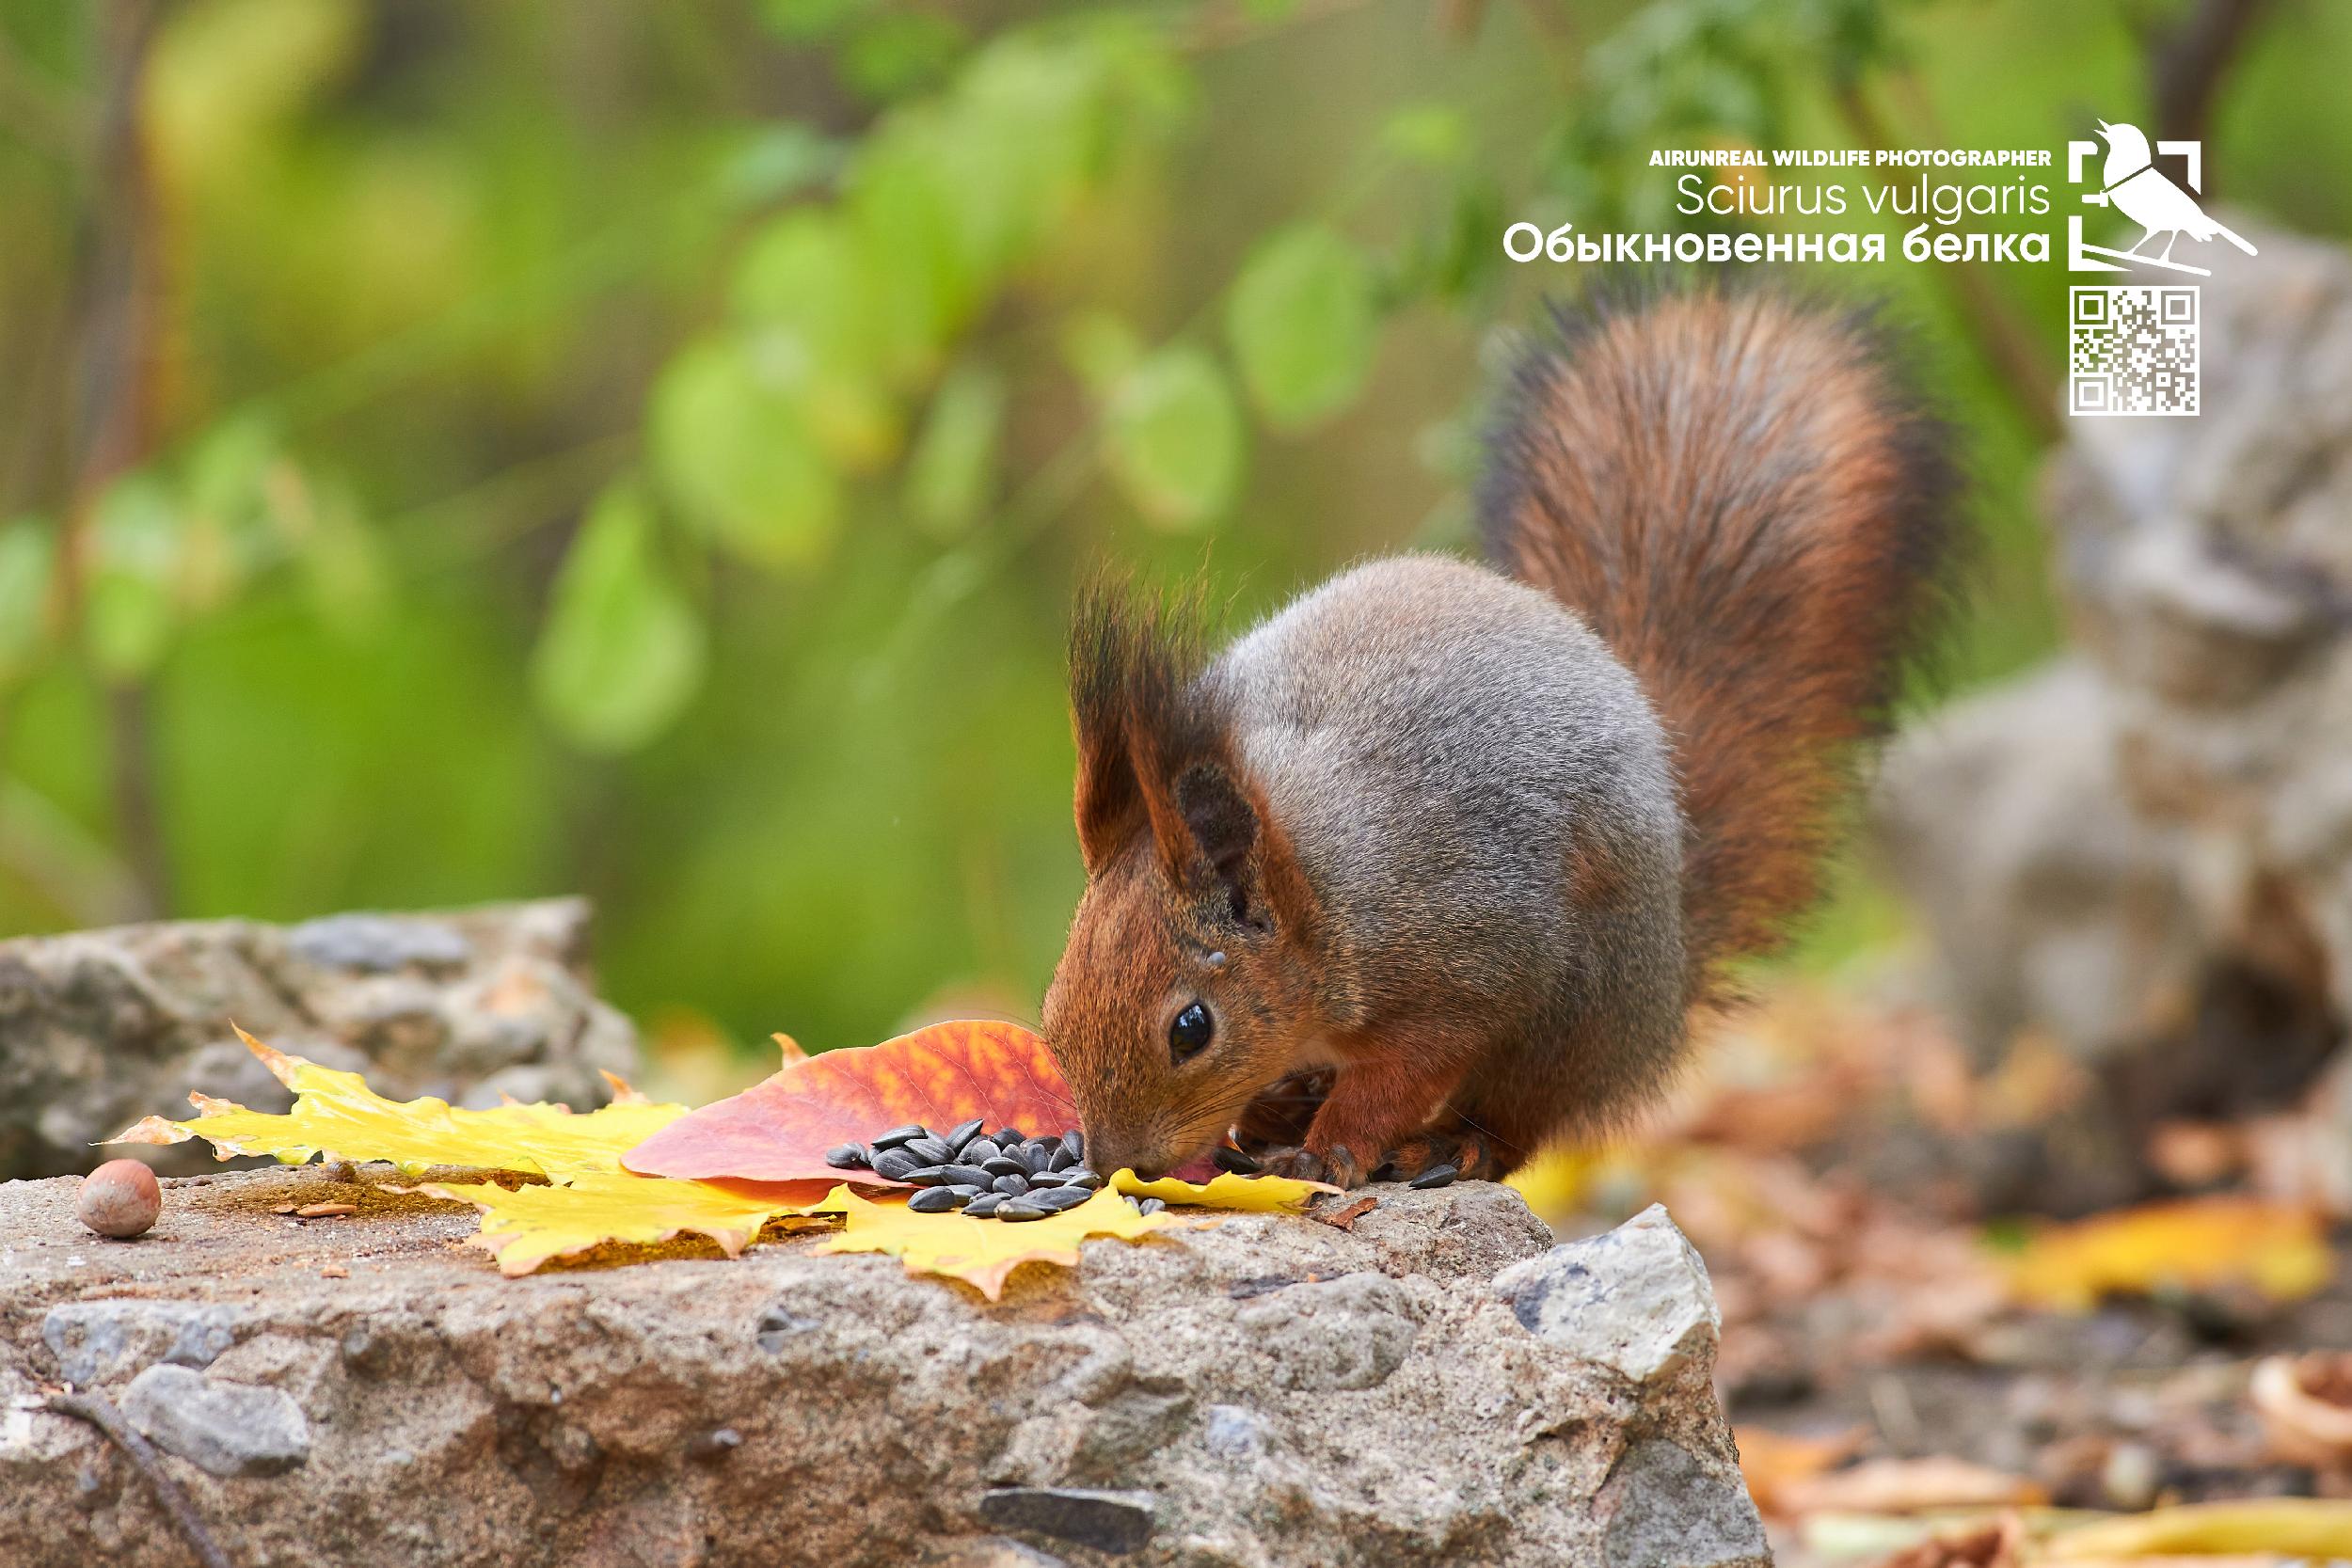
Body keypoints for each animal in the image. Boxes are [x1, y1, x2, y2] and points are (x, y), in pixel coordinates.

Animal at [1044, 288, 1947, 1184]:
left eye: (1191, 1028)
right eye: (1051, 1012)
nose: (1118, 1164)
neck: (1323, 893)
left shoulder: (1464, 961)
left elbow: (1405, 1071)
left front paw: (1333, 1147)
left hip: (1580, 1004)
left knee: (1521, 1118)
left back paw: (1450, 1142)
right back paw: (1282, 1104)